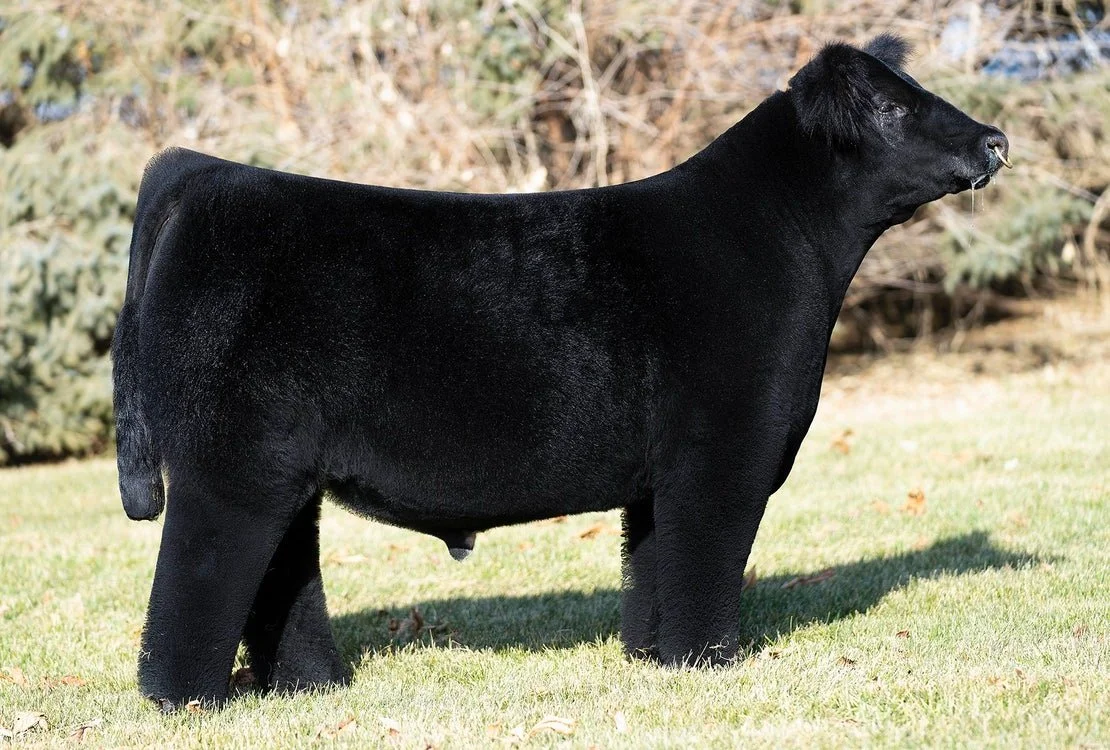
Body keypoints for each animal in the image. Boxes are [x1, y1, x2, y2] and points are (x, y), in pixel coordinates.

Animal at [111, 33, 1009, 709]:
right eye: (893, 108)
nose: (995, 139)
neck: (784, 243)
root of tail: (203, 173)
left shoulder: (660, 473)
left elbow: (653, 565)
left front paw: (656, 660)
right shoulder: (725, 449)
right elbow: (707, 558)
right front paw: (713, 662)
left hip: (280, 468)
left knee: (282, 573)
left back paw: (314, 688)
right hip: (229, 463)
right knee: (202, 569)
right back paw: (187, 701)